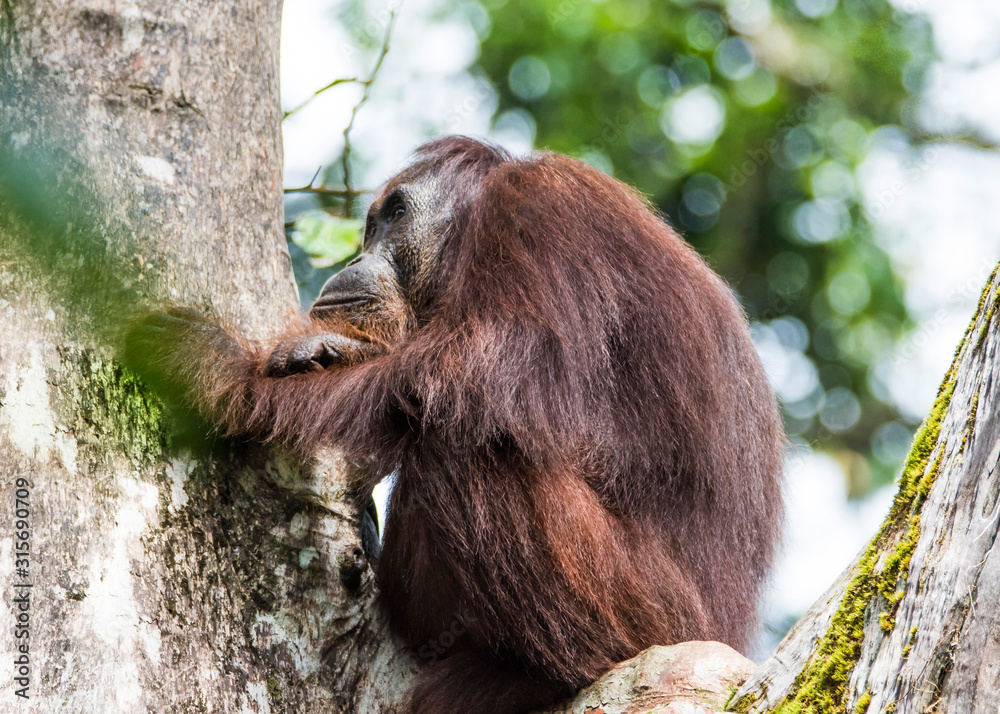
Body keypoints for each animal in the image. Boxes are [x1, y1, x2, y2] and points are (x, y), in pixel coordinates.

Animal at [126, 136, 784, 714]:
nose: (356, 257)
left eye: (394, 216)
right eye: (370, 227)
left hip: (657, 617)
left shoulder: (540, 206)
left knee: (464, 441)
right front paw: (316, 352)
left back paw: (555, 671)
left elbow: (485, 372)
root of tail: (726, 635)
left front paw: (225, 375)